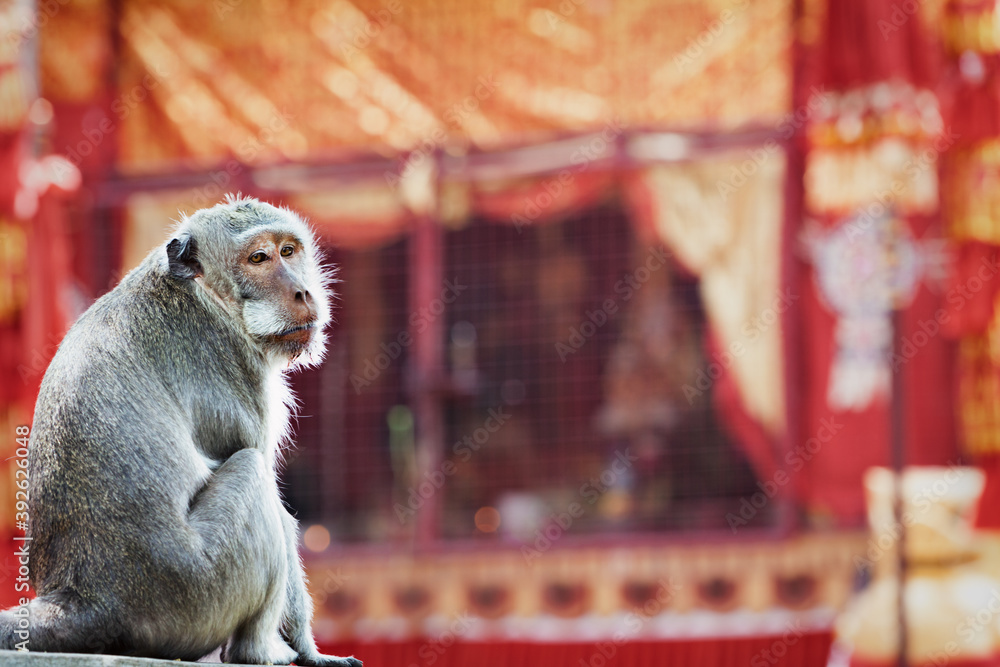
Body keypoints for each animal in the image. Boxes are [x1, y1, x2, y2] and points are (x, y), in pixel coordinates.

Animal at [0, 195, 360, 666]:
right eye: (258, 258)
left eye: (288, 251)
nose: (302, 291)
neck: (203, 294)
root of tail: (84, 599)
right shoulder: (234, 368)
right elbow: (269, 487)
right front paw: (310, 651)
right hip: (199, 592)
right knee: (252, 472)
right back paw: (258, 650)